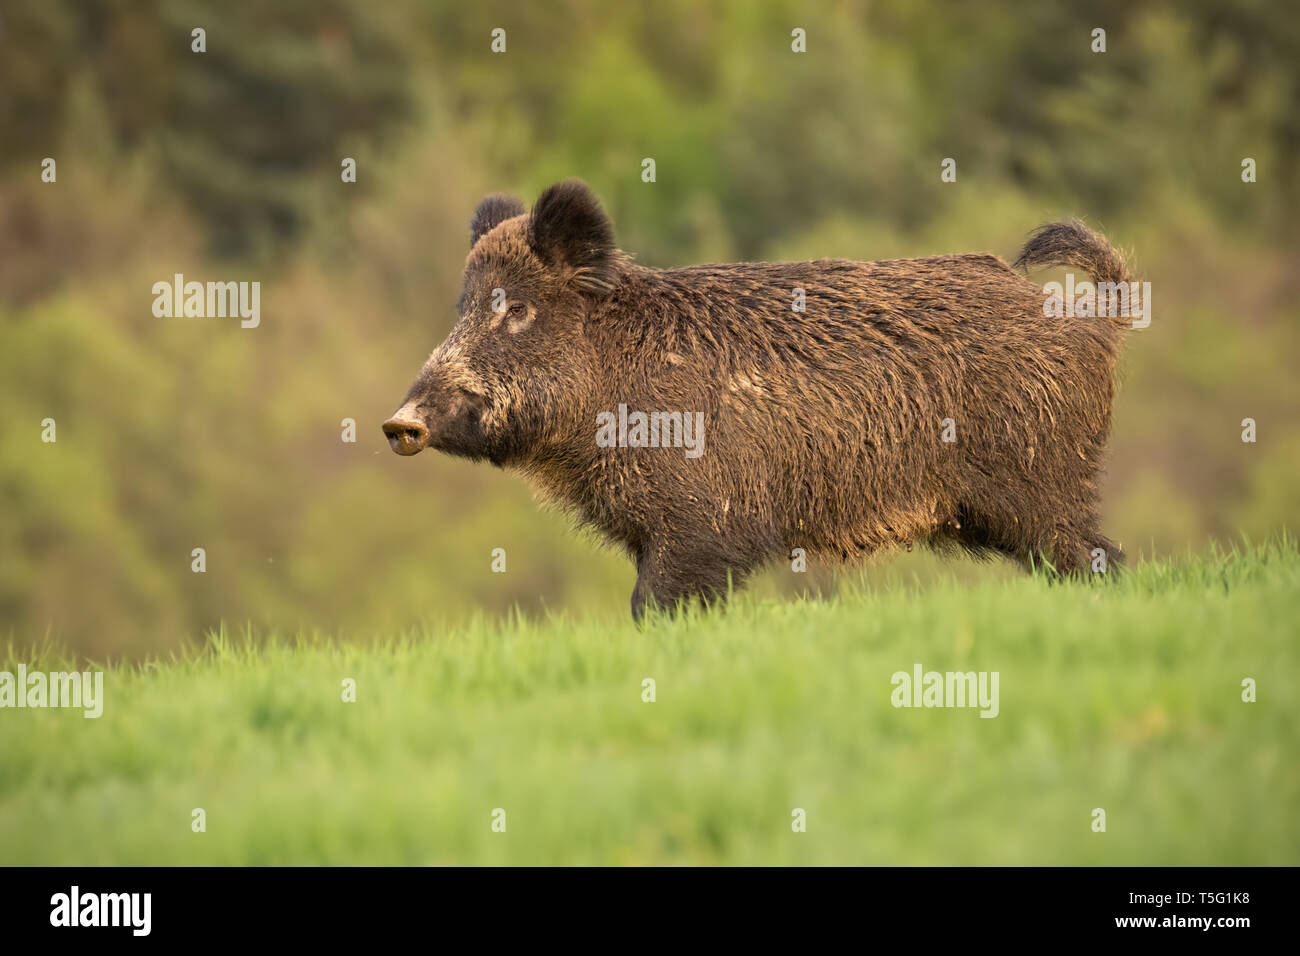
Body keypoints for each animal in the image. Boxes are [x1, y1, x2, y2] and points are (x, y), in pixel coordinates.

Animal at [384, 180, 1133, 619]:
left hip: (1040, 483)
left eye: (517, 310)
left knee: (1105, 559)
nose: (398, 423)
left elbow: (654, 605)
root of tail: (1094, 321)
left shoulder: (700, 525)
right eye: (464, 305)